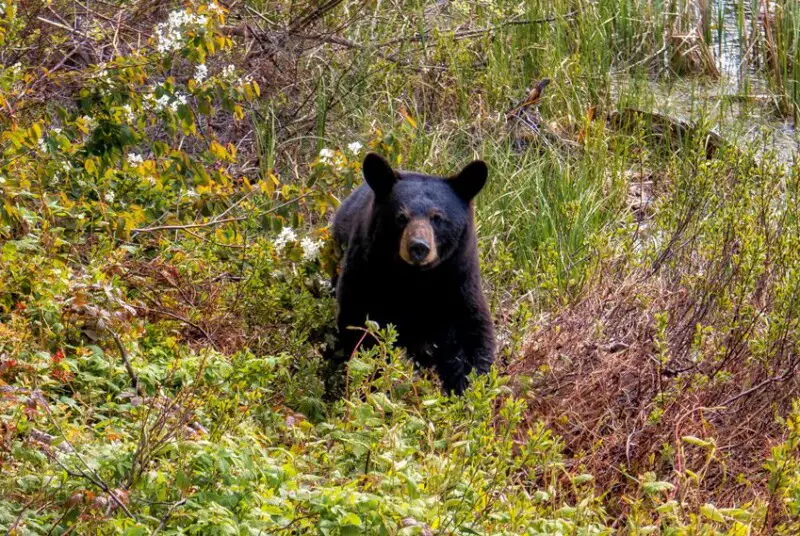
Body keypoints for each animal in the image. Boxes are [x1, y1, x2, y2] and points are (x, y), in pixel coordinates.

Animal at [326, 152, 495, 395]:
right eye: (401, 217)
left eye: (437, 217)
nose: (418, 247)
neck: (415, 279)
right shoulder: (365, 272)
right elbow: (360, 324)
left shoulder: (459, 279)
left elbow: (470, 332)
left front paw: (468, 388)